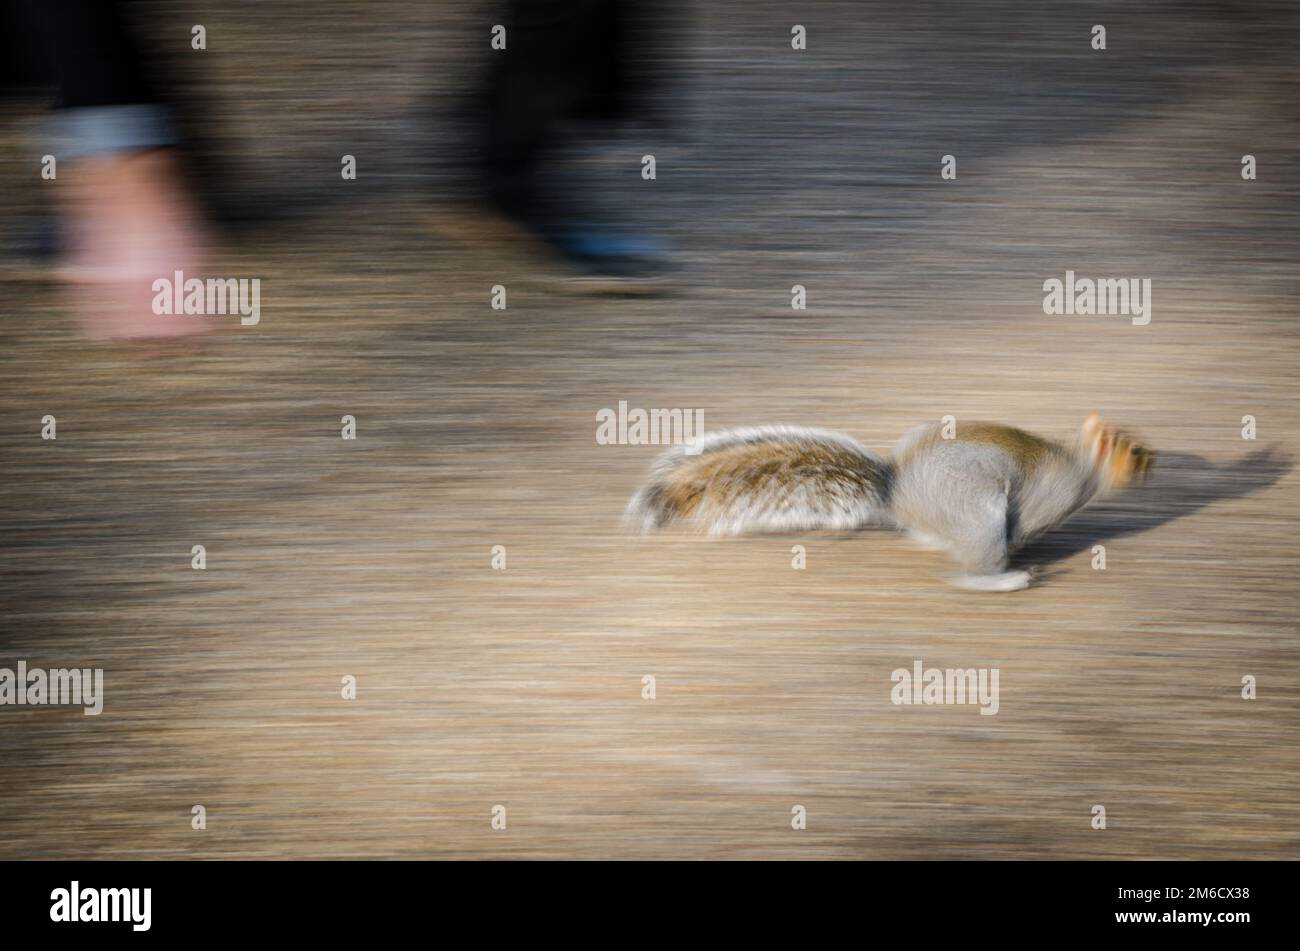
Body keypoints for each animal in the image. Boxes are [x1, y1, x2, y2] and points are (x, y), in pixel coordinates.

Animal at [627, 413, 1153, 592]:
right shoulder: (1048, 495)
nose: (1153, 462)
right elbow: (1028, 522)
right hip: (977, 515)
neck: (1082, 466)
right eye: (1132, 452)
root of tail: (897, 494)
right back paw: (1007, 577)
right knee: (969, 569)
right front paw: (1023, 546)